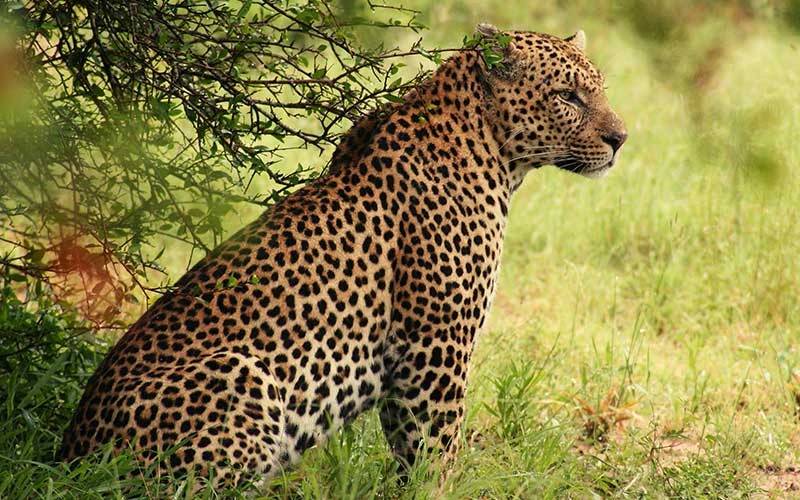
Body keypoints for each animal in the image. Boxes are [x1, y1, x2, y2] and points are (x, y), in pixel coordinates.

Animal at [59, 24, 627, 488]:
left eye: (600, 90)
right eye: (568, 96)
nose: (620, 138)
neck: (493, 151)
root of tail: (71, 457)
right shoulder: (434, 349)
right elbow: (433, 453)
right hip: (240, 372)